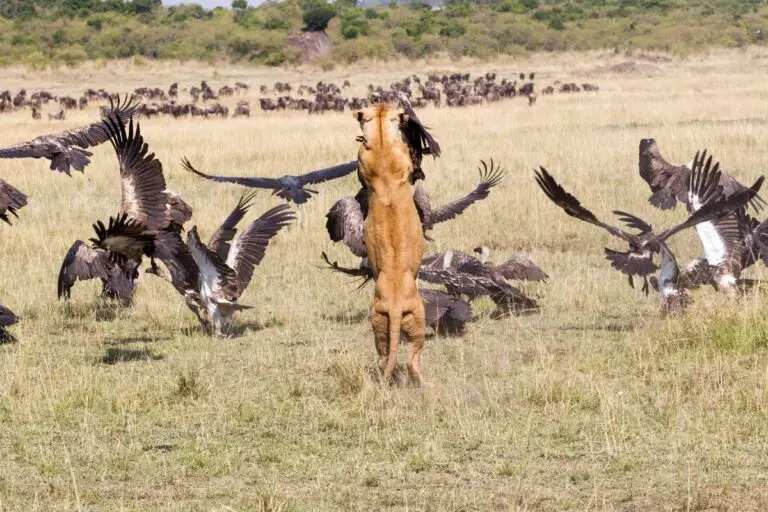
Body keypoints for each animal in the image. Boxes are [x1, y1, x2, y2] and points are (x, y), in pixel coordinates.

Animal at [355, 103, 427, 387]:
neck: (383, 142)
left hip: (377, 321)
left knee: (385, 356)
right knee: (411, 360)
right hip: (419, 319)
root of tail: (395, 306)